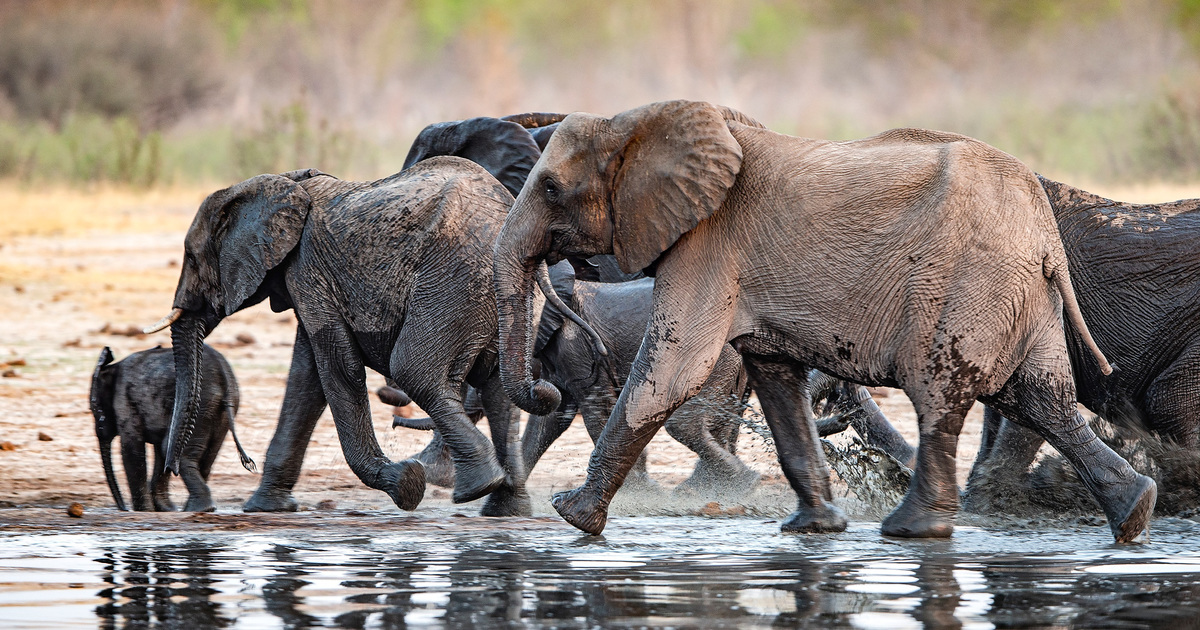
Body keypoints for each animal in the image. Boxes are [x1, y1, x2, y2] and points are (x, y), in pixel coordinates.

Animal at [90, 345, 253, 512]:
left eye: (93, 408)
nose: (123, 508)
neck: (112, 369)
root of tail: (223, 374)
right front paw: (165, 509)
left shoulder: (125, 399)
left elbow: (132, 448)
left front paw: (146, 511)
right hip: (220, 410)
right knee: (205, 456)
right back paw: (196, 508)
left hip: (199, 405)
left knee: (171, 449)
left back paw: (198, 509)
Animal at [143, 158, 576, 517]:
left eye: (192, 258)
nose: (170, 469)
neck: (282, 181)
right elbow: (306, 379)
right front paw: (265, 508)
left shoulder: (308, 269)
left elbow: (337, 367)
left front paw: (406, 486)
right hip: (505, 296)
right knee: (499, 390)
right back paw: (506, 508)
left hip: (454, 280)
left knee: (415, 370)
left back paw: (476, 488)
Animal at [492, 99, 1156, 542]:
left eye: (549, 189)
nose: (545, 388)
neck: (634, 122)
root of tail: (1045, 234)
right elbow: (775, 380)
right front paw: (814, 528)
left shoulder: (709, 245)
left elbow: (673, 369)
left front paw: (573, 515)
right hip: (1019, 294)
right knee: (1041, 398)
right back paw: (1135, 514)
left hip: (965, 284)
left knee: (941, 394)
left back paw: (912, 530)